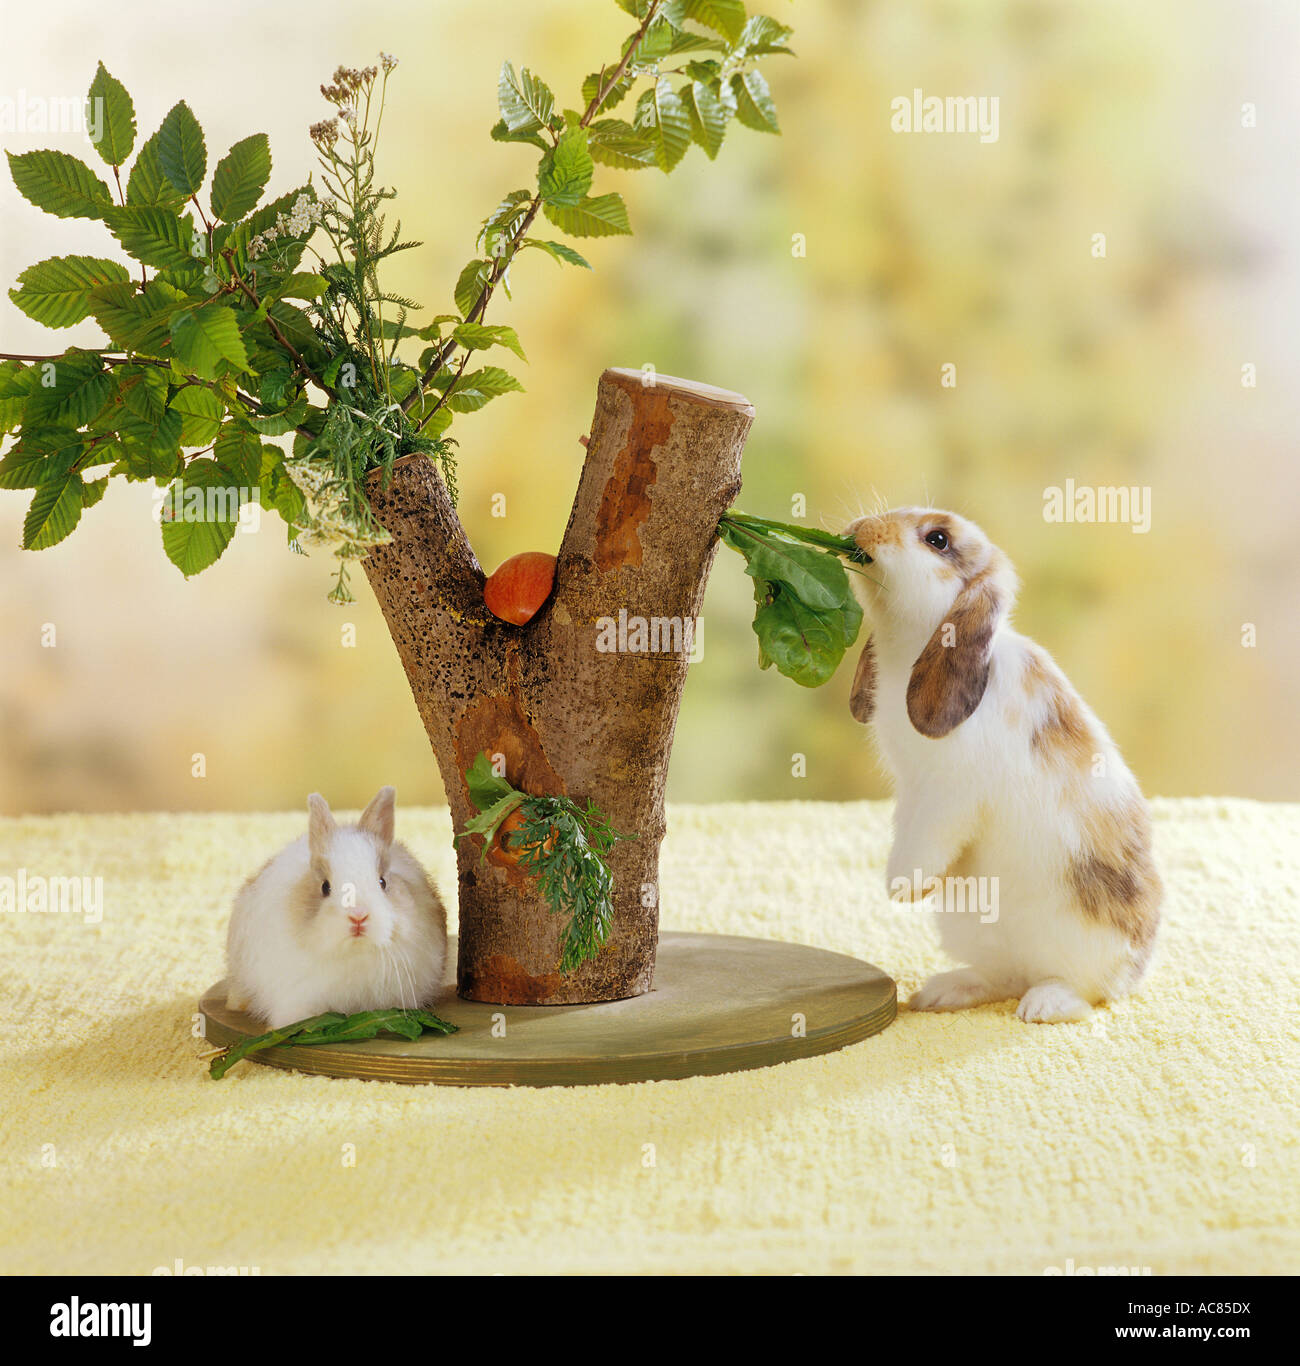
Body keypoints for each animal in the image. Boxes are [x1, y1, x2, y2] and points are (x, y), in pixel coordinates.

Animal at [844, 506, 1161, 1023]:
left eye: (938, 540)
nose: (862, 528)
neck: (908, 645)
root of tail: (1137, 966)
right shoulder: (910, 787)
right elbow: (906, 828)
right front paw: (909, 885)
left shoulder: (949, 793)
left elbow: (927, 837)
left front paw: (902, 888)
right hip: (977, 932)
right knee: (1005, 977)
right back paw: (943, 993)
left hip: (1081, 947)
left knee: (1088, 991)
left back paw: (1044, 1005)